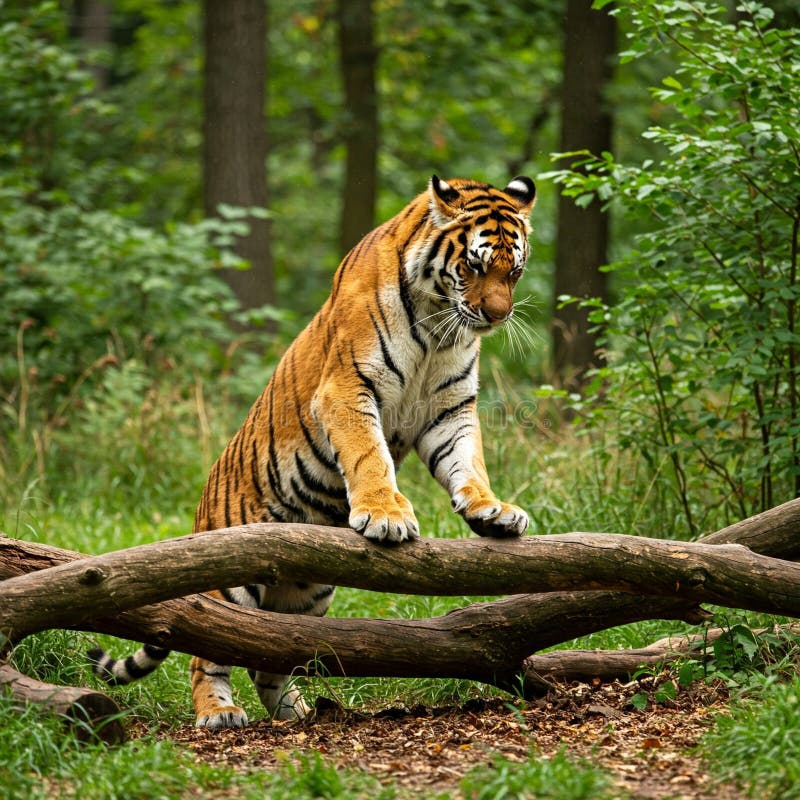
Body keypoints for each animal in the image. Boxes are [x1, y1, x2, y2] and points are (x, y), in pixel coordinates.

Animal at [88, 174, 537, 728]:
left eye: (513, 271)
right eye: (475, 266)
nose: (498, 315)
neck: (438, 325)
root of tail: (199, 511)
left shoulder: (449, 407)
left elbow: (467, 461)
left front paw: (491, 510)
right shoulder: (348, 386)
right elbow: (369, 456)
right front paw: (386, 515)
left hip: (308, 593)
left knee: (272, 653)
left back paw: (298, 714)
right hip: (228, 581)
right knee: (207, 643)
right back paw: (219, 711)